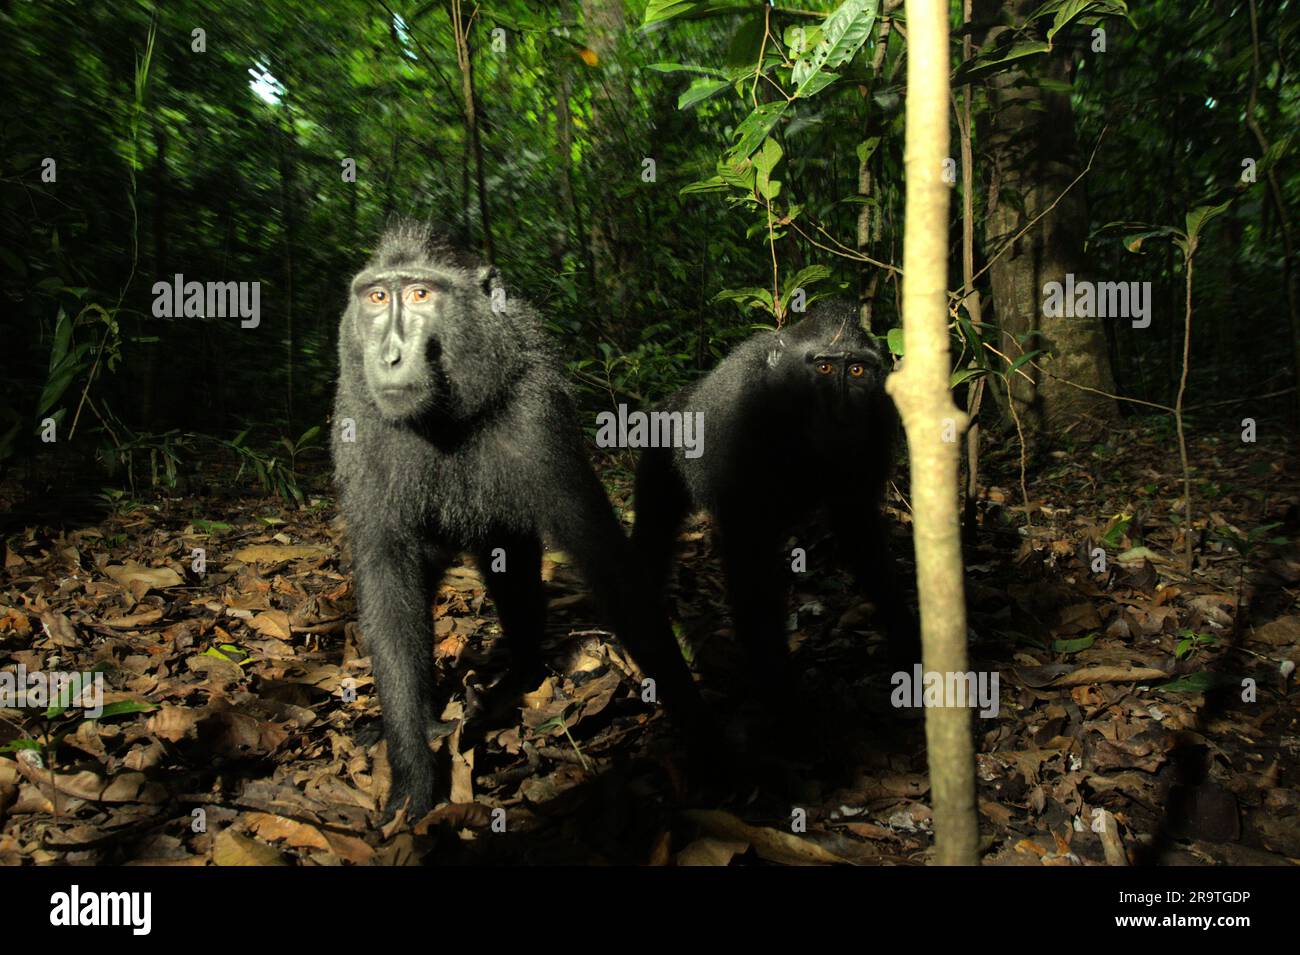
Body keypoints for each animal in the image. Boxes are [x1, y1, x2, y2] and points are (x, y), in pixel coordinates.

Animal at [332, 223, 708, 822]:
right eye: (375, 298)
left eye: (420, 295)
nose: (388, 355)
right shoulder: (359, 422)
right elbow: (388, 573)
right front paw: (412, 764)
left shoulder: (534, 409)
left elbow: (604, 561)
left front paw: (703, 737)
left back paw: (515, 679)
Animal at [631, 299, 919, 703]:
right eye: (824, 368)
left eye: (857, 370)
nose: (842, 412)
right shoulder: (746, 409)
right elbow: (748, 555)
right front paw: (778, 690)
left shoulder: (879, 414)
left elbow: (859, 529)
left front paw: (909, 641)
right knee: (652, 536)